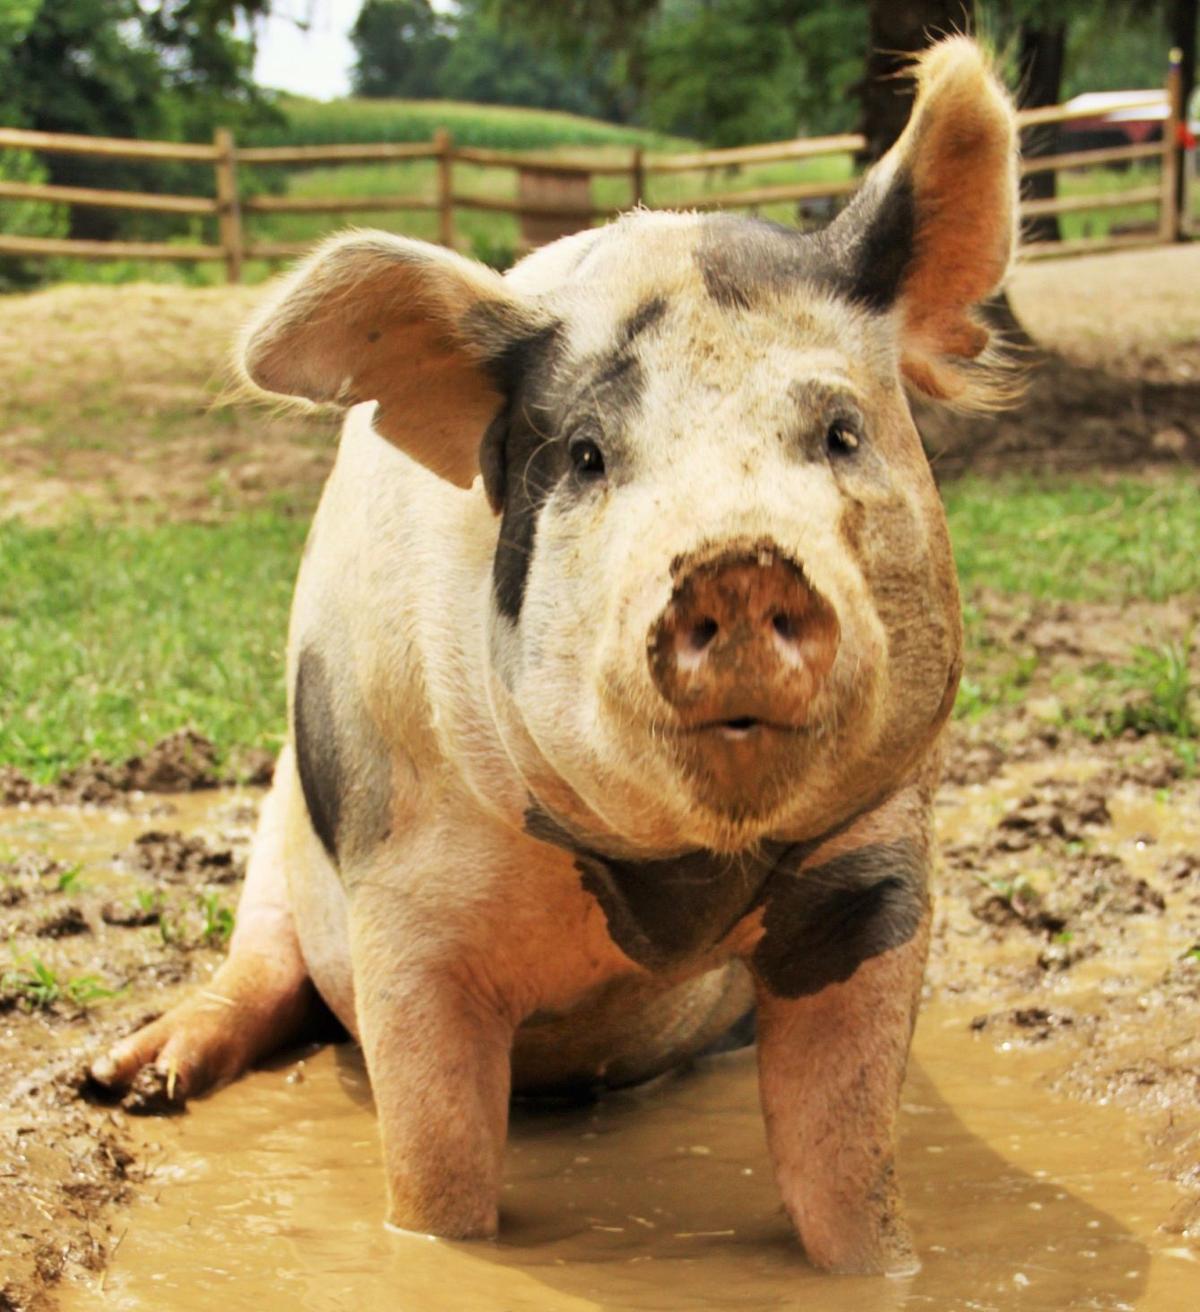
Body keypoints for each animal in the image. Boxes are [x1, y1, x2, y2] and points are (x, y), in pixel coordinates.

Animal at [90, 37, 1017, 1275]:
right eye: (584, 454)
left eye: (841, 432)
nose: (740, 562)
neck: (667, 889)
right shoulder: (407, 897)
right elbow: (436, 1168)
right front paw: (432, 1250)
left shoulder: (871, 875)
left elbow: (846, 1165)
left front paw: (881, 1270)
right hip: (275, 833)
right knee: (260, 973)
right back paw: (124, 1080)